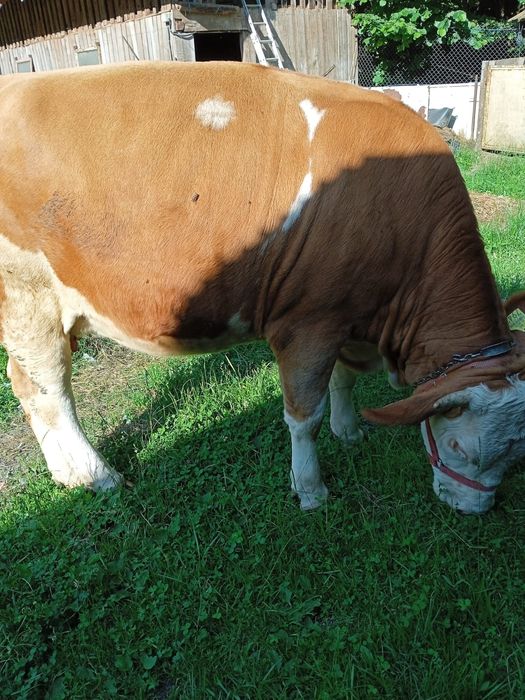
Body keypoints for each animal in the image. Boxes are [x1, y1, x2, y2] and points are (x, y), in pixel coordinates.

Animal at [1, 61, 524, 515]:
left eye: (515, 454)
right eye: (459, 446)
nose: (474, 510)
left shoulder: (345, 314)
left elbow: (343, 379)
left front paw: (349, 432)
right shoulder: (309, 320)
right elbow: (304, 415)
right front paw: (311, 489)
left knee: (28, 388)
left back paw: (68, 476)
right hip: (28, 297)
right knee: (50, 391)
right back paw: (99, 475)